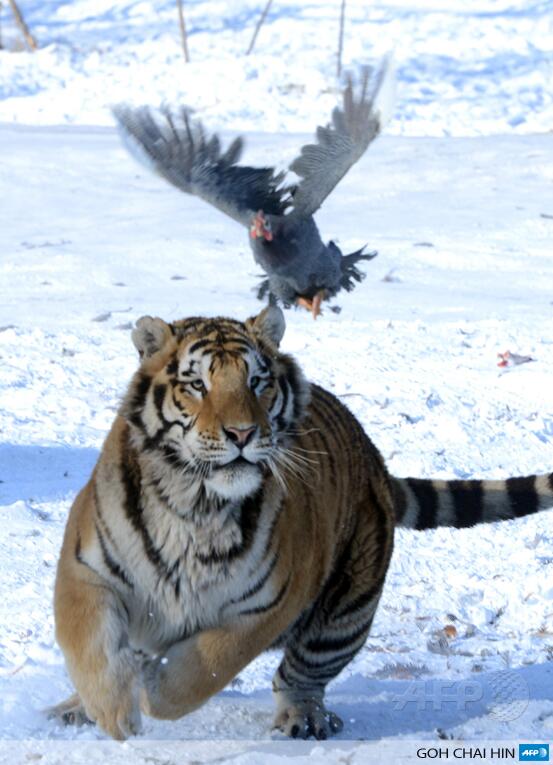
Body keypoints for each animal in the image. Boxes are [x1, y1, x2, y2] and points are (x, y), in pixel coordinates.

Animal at [51, 305, 553, 741]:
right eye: (195, 384)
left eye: (257, 382)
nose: (241, 433)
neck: (198, 503)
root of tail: (375, 460)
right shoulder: (86, 568)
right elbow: (89, 643)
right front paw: (113, 711)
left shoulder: (270, 602)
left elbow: (207, 663)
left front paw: (155, 691)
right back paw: (75, 706)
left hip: (346, 613)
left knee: (301, 674)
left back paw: (303, 718)